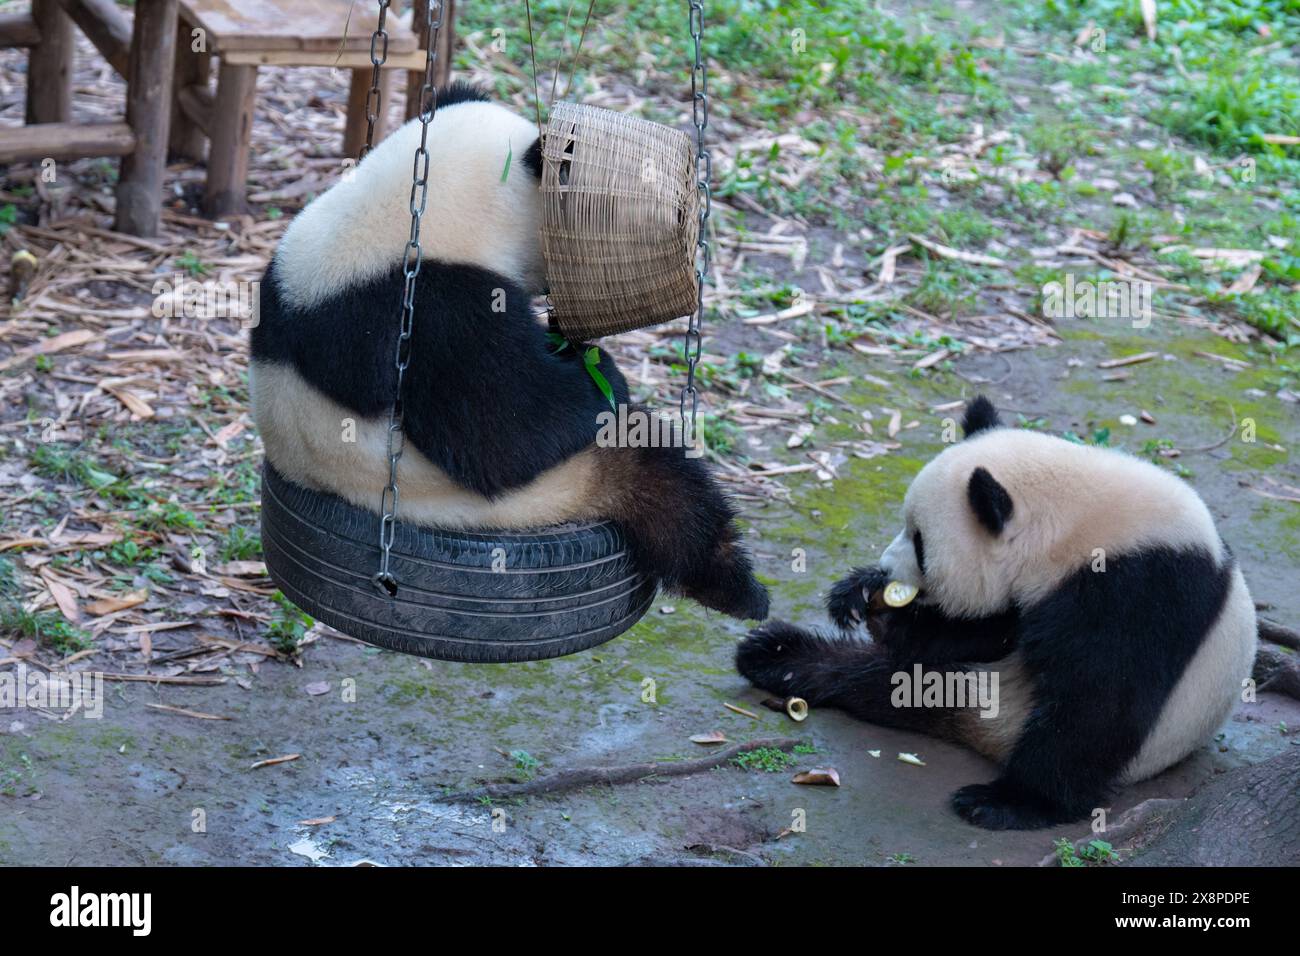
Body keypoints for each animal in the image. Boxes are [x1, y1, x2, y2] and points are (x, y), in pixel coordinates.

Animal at [249, 83, 768, 622]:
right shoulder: (434, 311)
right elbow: (504, 436)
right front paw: (602, 371)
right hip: (531, 494)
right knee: (664, 481)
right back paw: (737, 588)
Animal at [736, 396, 1257, 830]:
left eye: (921, 542)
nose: (885, 569)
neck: (1076, 517)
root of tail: (980, 728)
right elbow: (992, 631)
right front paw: (860, 594)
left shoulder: (1137, 587)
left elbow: (1102, 699)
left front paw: (1009, 803)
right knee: (882, 677)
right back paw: (779, 656)